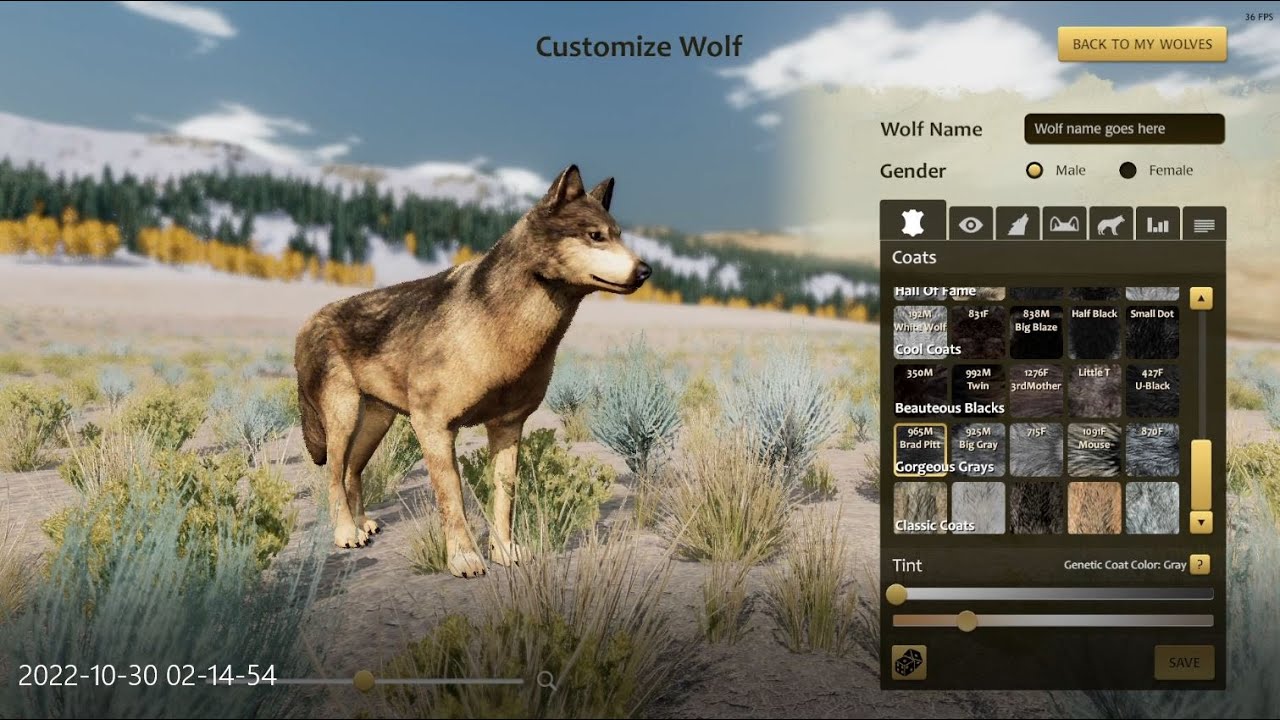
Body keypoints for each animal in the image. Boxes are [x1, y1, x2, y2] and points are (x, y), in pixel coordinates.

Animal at [294, 165, 650, 577]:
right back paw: (346, 533)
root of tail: (308, 323)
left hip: (376, 423)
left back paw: (363, 523)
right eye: (595, 236)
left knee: (352, 470)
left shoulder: (508, 427)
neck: (504, 331)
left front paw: (505, 552)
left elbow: (504, 499)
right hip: (344, 419)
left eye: (618, 235)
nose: (646, 270)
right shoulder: (434, 428)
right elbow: (454, 501)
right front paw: (464, 559)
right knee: (334, 474)